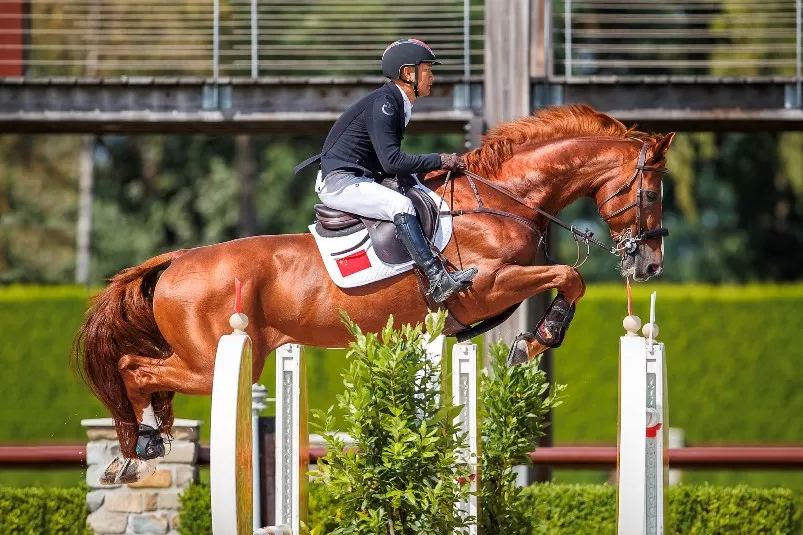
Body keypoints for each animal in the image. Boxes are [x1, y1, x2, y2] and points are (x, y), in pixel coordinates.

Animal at [72, 102, 672, 484]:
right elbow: (570, 277)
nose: (649, 264)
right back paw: (135, 450)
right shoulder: (484, 287)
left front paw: (533, 341)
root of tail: (174, 263)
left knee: (146, 377)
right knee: (133, 370)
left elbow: (564, 280)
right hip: (212, 361)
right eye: (651, 192)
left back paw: (138, 450)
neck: (503, 201)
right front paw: (541, 338)